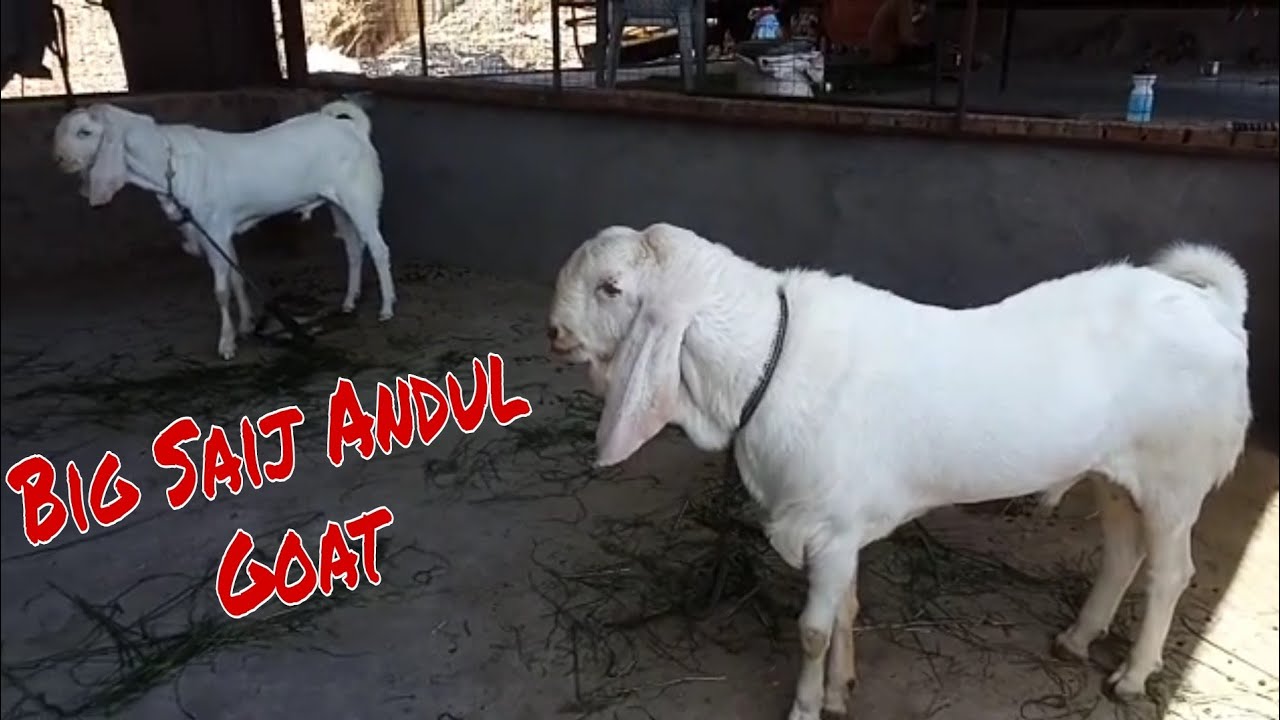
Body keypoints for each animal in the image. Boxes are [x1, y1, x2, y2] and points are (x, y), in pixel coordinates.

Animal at [52, 100, 396, 360]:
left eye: (85, 132)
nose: (59, 160)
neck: (169, 167)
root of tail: (352, 128)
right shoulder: (220, 232)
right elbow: (236, 277)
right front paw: (245, 325)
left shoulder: (213, 228)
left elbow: (220, 290)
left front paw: (227, 343)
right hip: (339, 204)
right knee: (353, 247)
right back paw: (350, 301)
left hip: (360, 198)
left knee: (379, 249)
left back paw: (387, 308)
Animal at [547, 223, 1251, 720]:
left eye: (611, 288)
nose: (554, 331)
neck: (763, 360)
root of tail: (1213, 311)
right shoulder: (841, 531)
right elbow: (846, 610)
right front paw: (841, 689)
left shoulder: (829, 528)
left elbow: (811, 629)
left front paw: (807, 706)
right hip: (1115, 474)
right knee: (1124, 553)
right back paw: (1077, 638)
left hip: (1176, 478)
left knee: (1170, 573)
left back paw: (1131, 676)